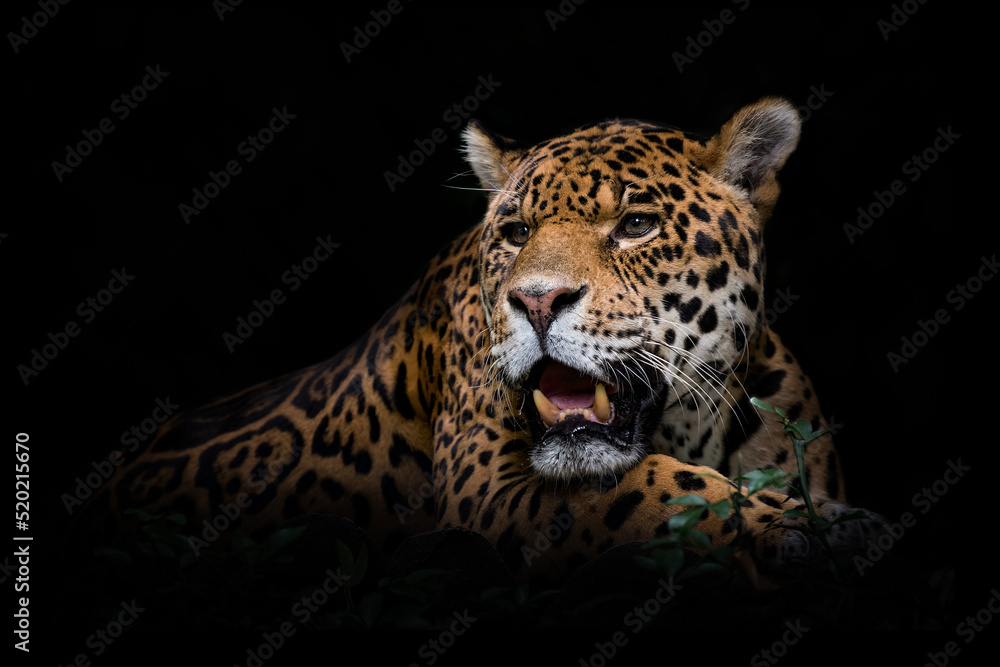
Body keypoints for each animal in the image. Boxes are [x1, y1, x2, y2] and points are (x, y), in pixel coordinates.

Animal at [87, 97, 883, 584]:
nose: (535, 301)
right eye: (516, 232)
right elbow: (650, 487)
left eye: (635, 225)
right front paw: (802, 528)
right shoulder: (488, 480)